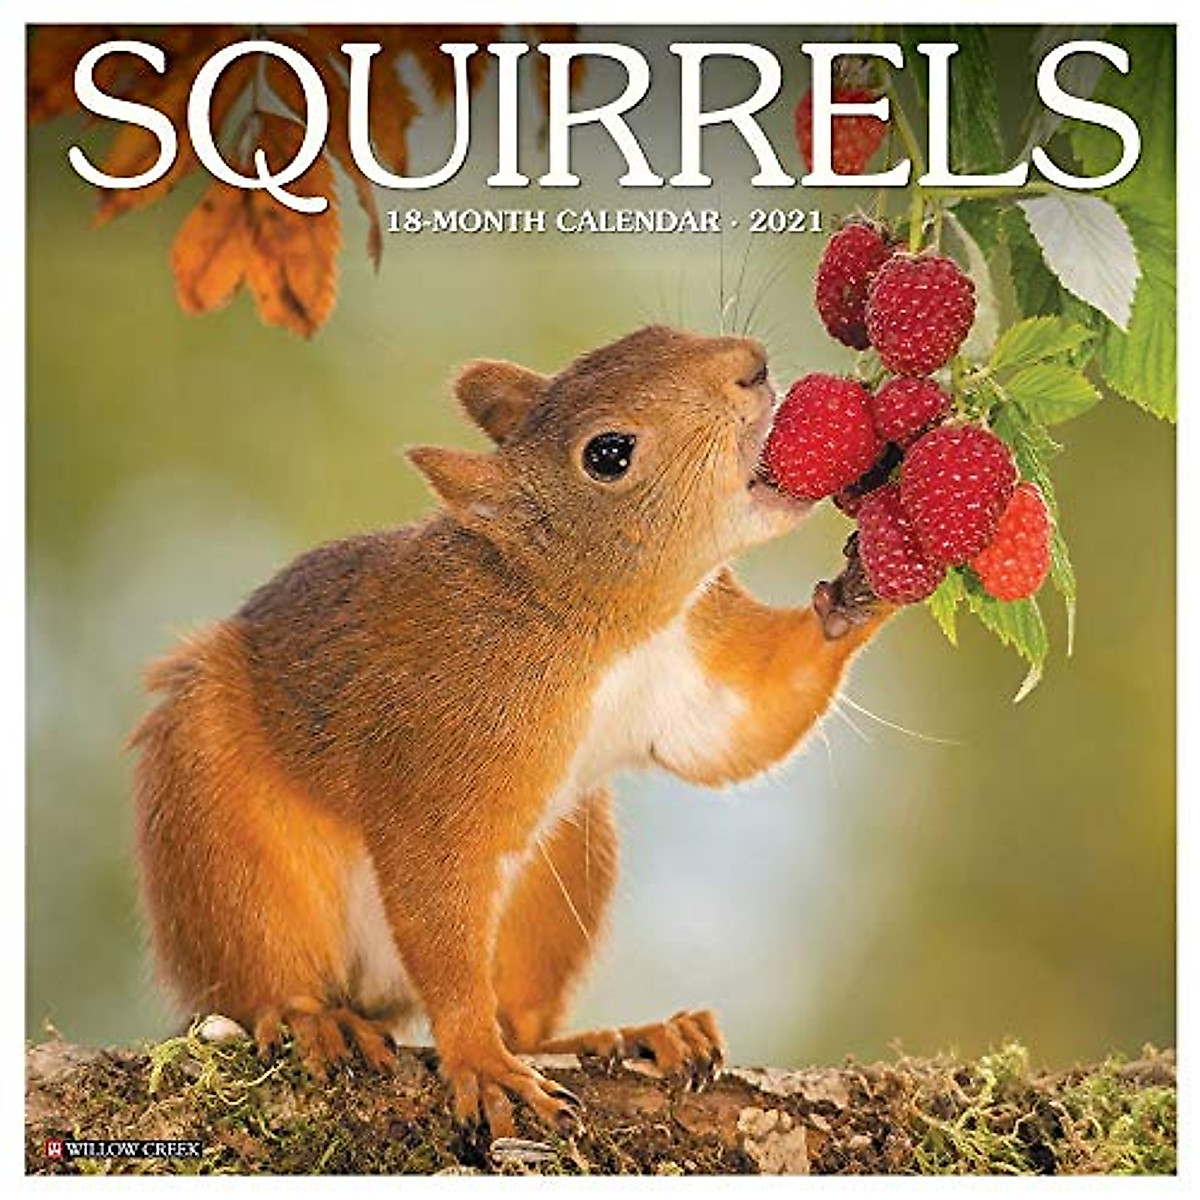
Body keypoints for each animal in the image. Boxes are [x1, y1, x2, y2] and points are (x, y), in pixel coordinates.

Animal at [131, 325, 892, 1136]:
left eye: (655, 334)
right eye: (609, 454)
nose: (751, 366)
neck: (603, 629)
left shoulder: (692, 661)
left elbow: (746, 722)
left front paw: (865, 586)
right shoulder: (441, 744)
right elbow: (436, 889)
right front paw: (479, 1062)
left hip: (562, 870)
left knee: (524, 1018)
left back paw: (633, 1034)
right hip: (220, 835)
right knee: (259, 974)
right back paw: (313, 1016)